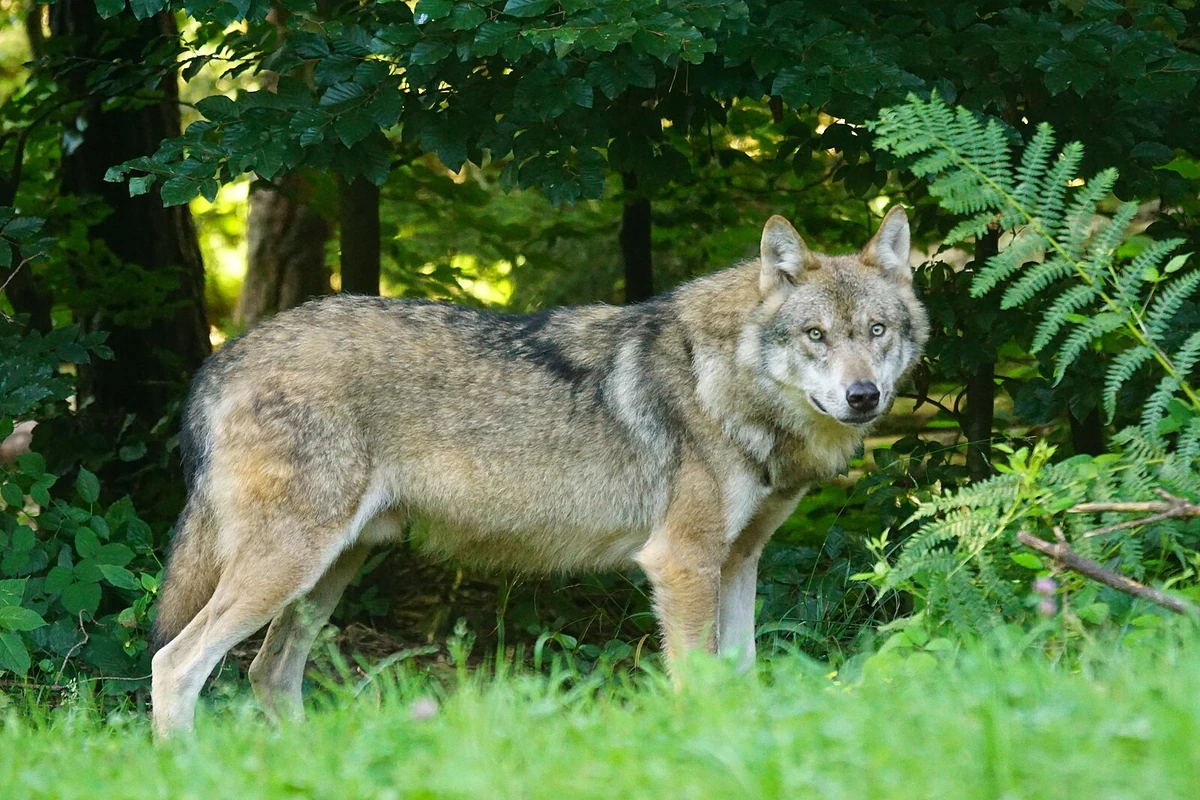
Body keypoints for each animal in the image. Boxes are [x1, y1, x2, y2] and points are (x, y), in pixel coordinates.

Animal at [150, 206, 928, 735]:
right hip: (288, 568)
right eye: (815, 336)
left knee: (268, 673)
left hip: (326, 574)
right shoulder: (682, 564)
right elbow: (698, 685)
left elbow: (741, 678)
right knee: (175, 664)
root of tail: (223, 358)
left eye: (877, 331)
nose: (864, 396)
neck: (724, 381)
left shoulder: (738, 562)